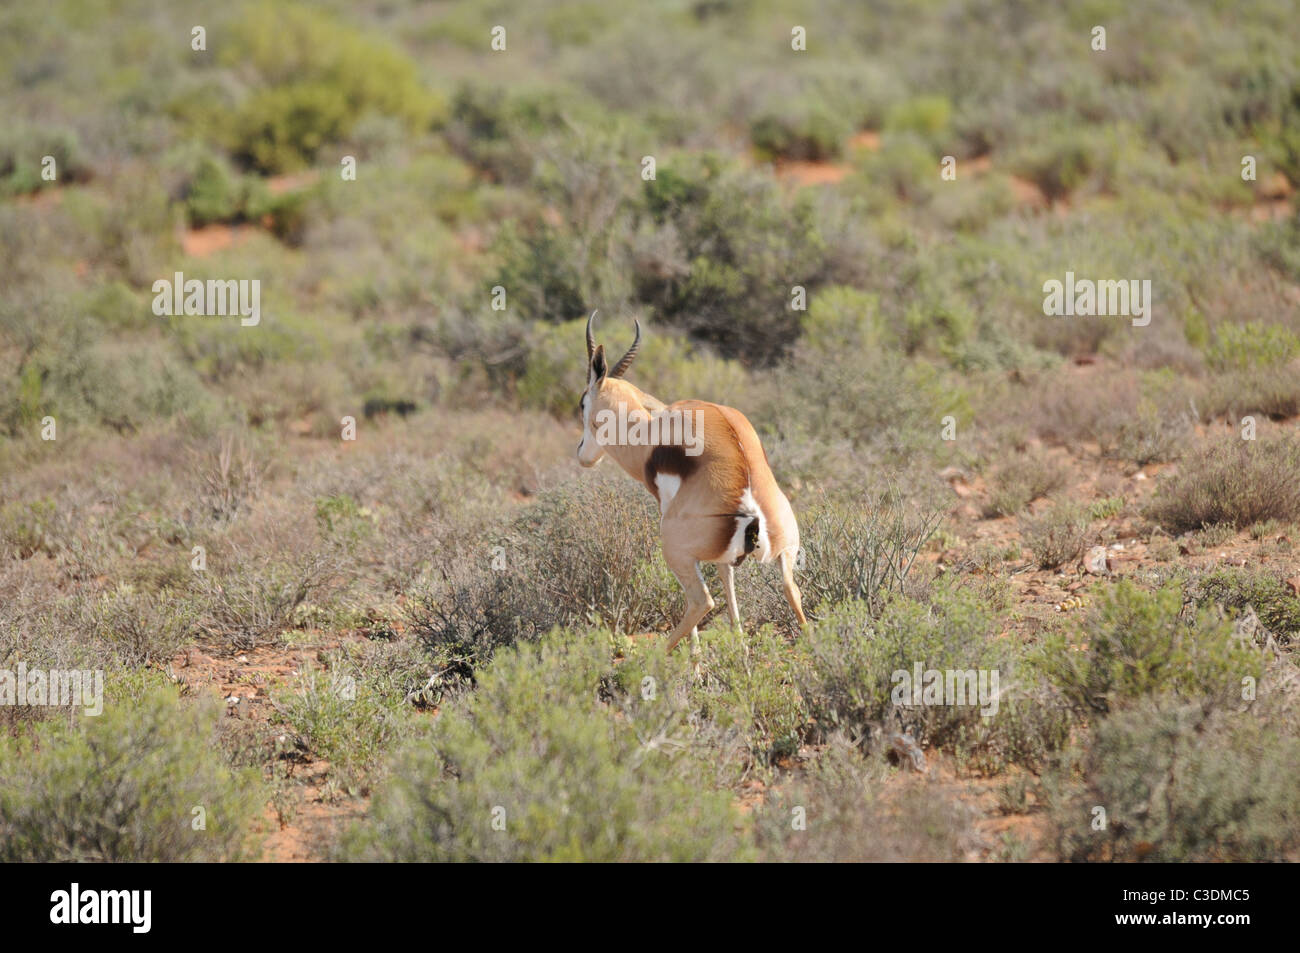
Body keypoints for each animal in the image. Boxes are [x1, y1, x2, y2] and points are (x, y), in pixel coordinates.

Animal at [577, 312, 807, 651]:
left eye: (582, 403)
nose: (583, 454)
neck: (650, 438)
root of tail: (752, 506)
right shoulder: (726, 558)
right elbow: (728, 580)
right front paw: (741, 650)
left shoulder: (666, 511)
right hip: (787, 552)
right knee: (793, 591)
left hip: (674, 548)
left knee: (701, 601)